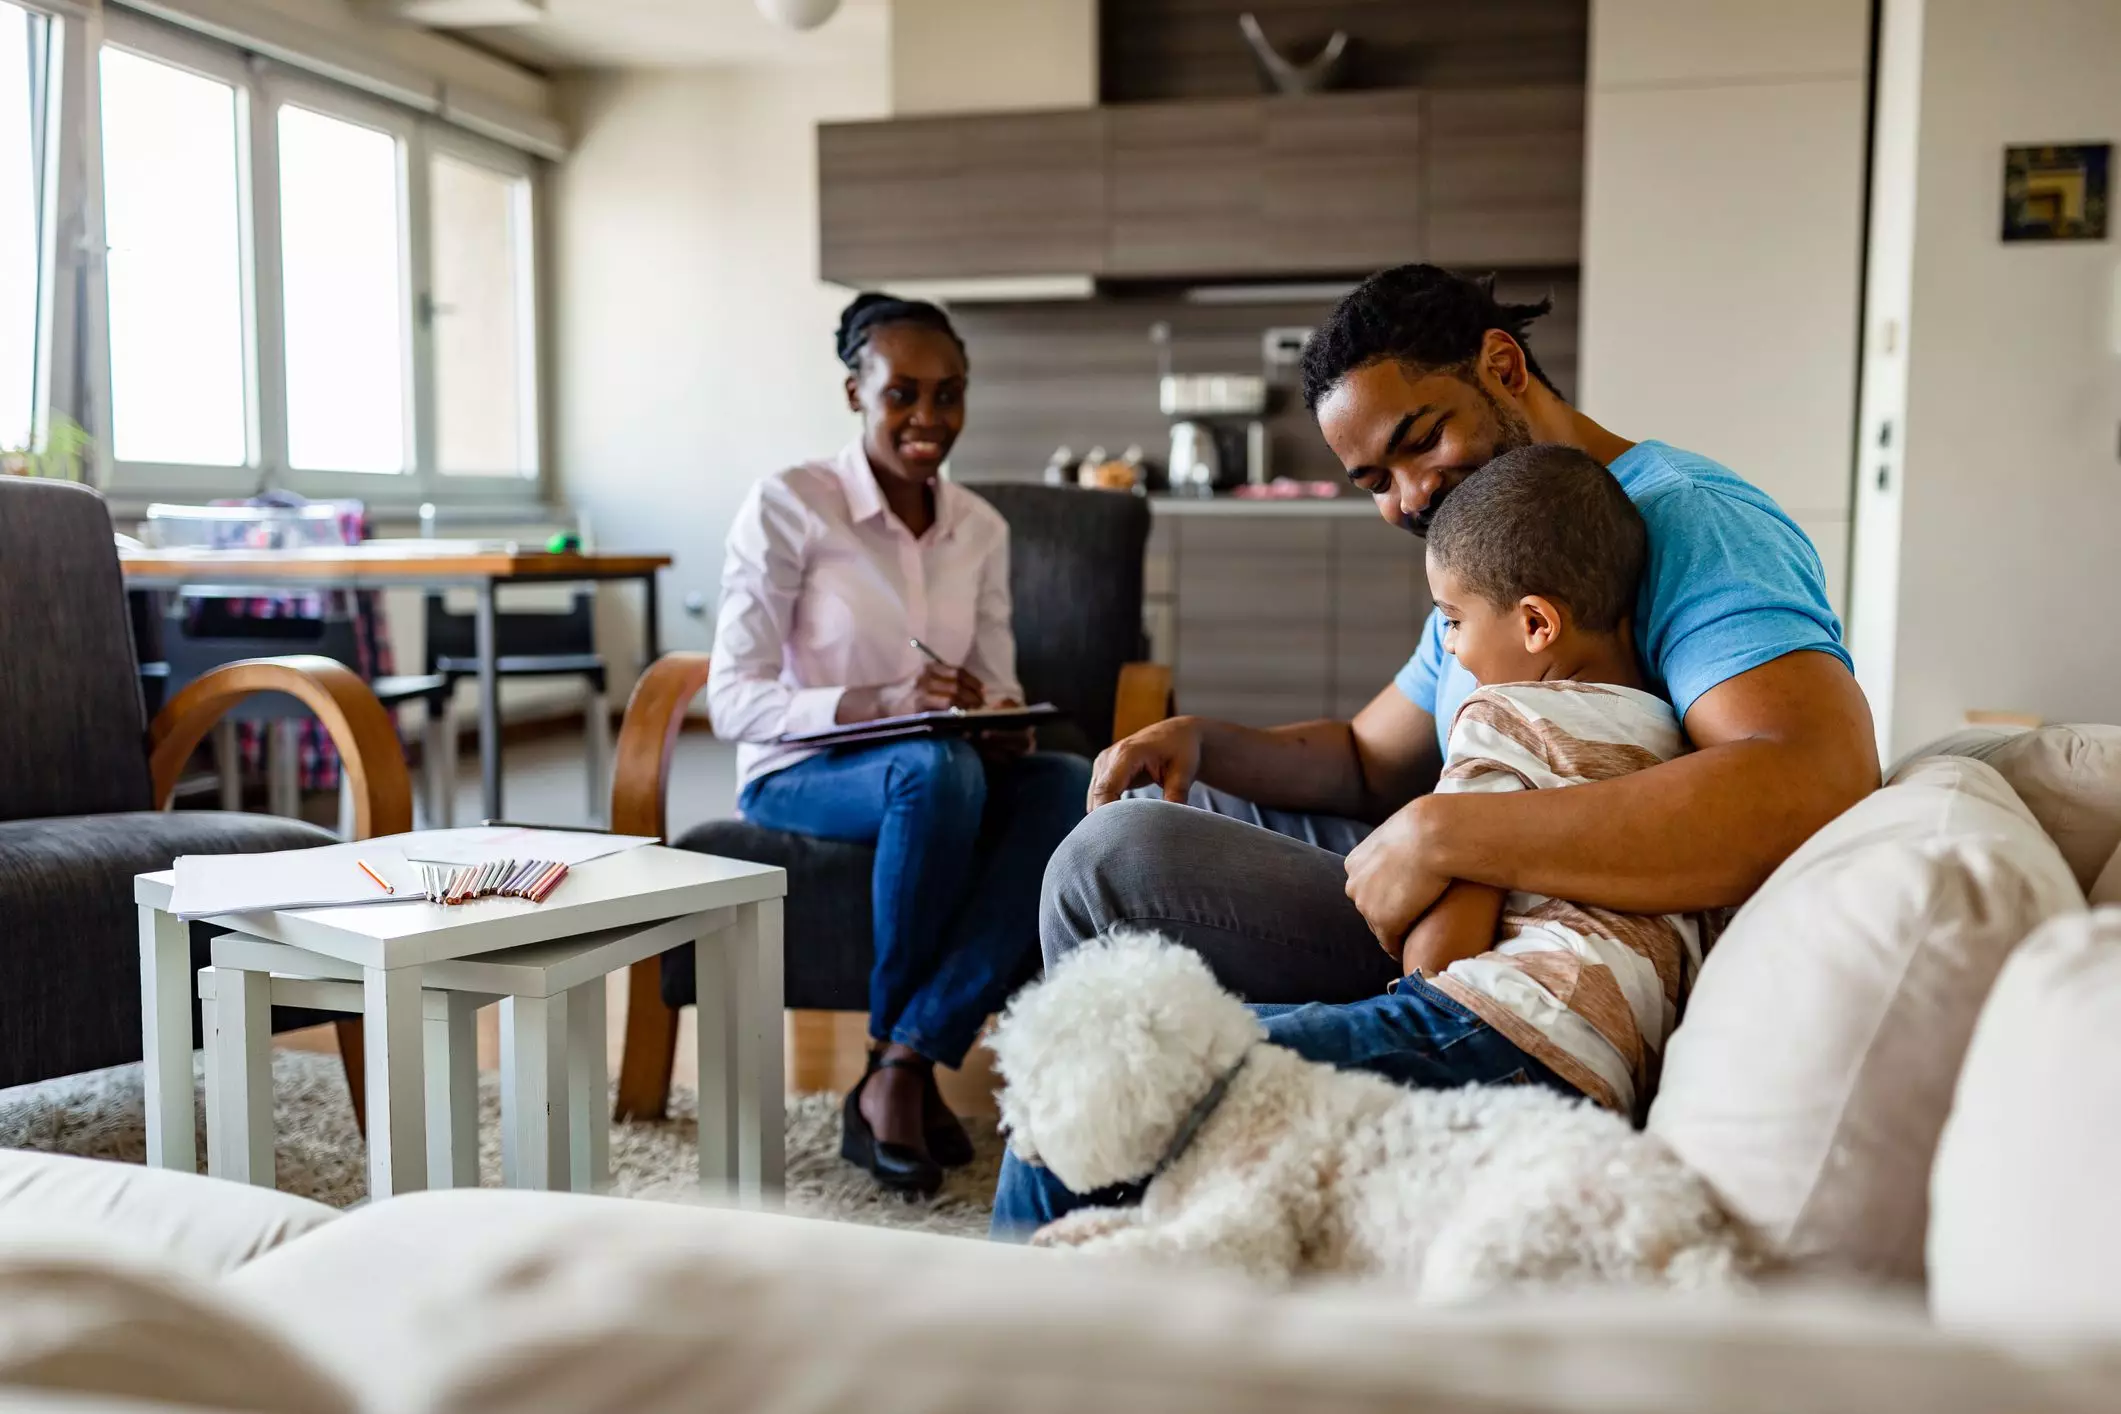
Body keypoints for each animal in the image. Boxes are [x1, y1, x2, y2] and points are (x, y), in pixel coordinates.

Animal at [992, 932, 1756, 1297]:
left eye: (1030, 1076)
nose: (1011, 1131)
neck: (1224, 1101)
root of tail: (1692, 1237)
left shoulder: (1237, 1238)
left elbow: (1146, 1250)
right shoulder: (1166, 1210)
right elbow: (1119, 1222)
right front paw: (1067, 1232)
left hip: (1492, 1249)